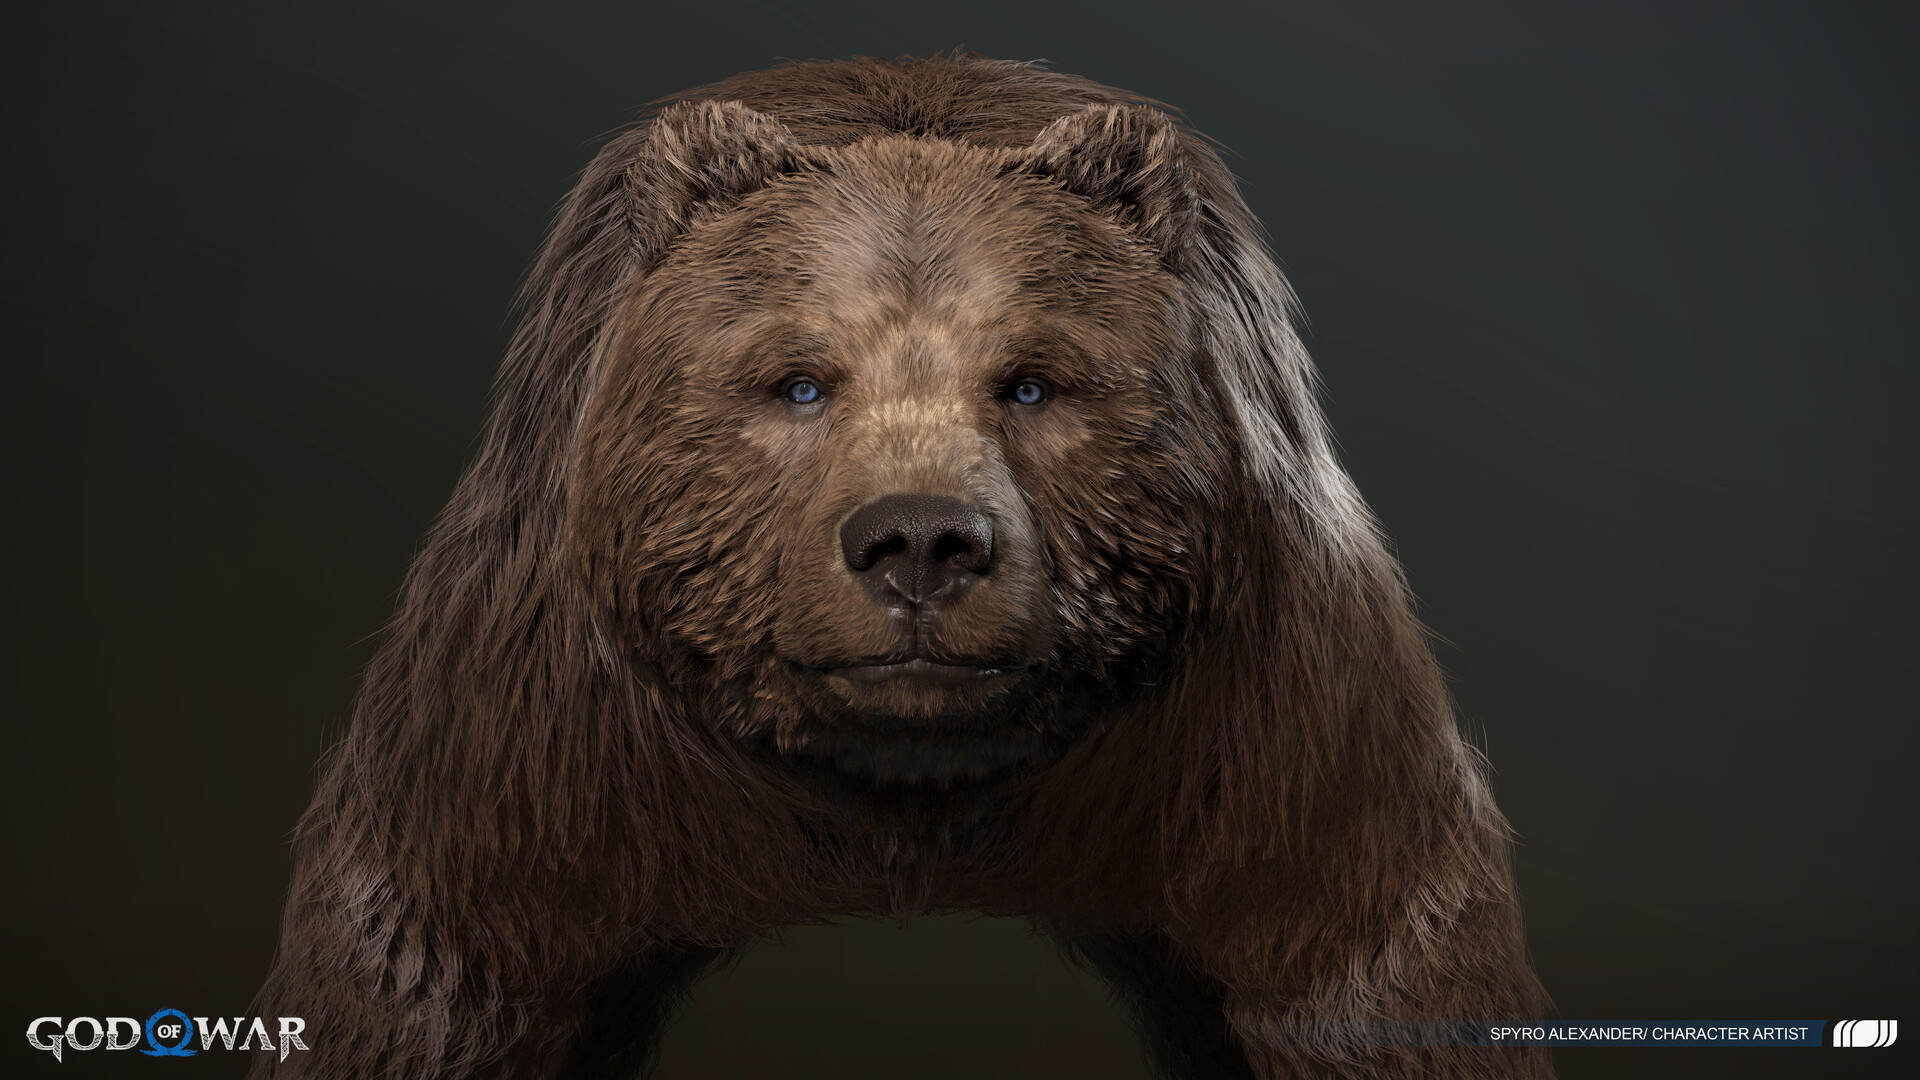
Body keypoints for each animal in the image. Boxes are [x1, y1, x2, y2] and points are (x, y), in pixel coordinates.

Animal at [252, 53, 1552, 1079]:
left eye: (1033, 380)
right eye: (797, 379)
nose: (919, 540)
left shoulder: (1274, 747)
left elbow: (1375, 975)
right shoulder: (531, 766)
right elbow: (429, 986)